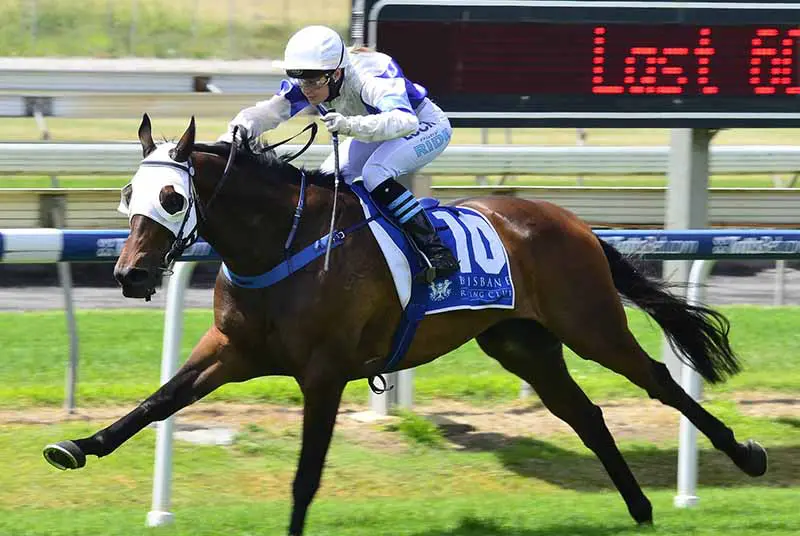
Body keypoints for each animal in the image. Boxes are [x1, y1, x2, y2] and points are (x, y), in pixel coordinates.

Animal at [42, 115, 767, 535]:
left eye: (172, 197)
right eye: (127, 196)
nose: (130, 274)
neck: (282, 242)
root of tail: (573, 222)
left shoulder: (324, 373)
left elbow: (306, 472)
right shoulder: (233, 350)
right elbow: (159, 401)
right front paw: (77, 446)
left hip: (589, 322)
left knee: (659, 382)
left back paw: (744, 455)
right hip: (522, 344)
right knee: (585, 414)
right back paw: (640, 510)